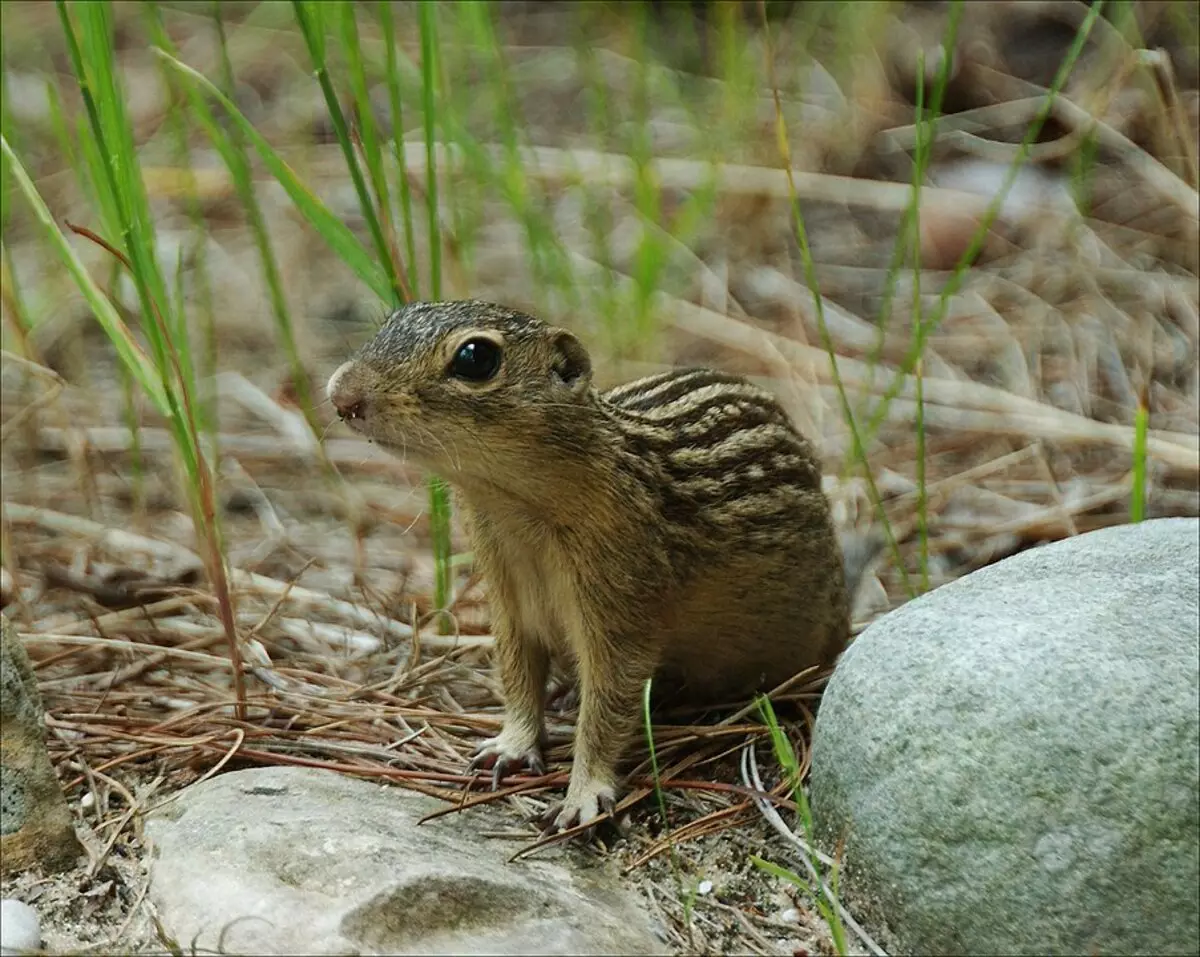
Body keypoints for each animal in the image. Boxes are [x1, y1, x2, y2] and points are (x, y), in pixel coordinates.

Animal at [328, 303, 868, 834]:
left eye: (476, 358)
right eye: (393, 319)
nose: (341, 394)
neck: (513, 508)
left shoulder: (622, 609)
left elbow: (607, 711)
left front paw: (583, 795)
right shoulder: (508, 602)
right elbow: (517, 678)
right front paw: (511, 745)